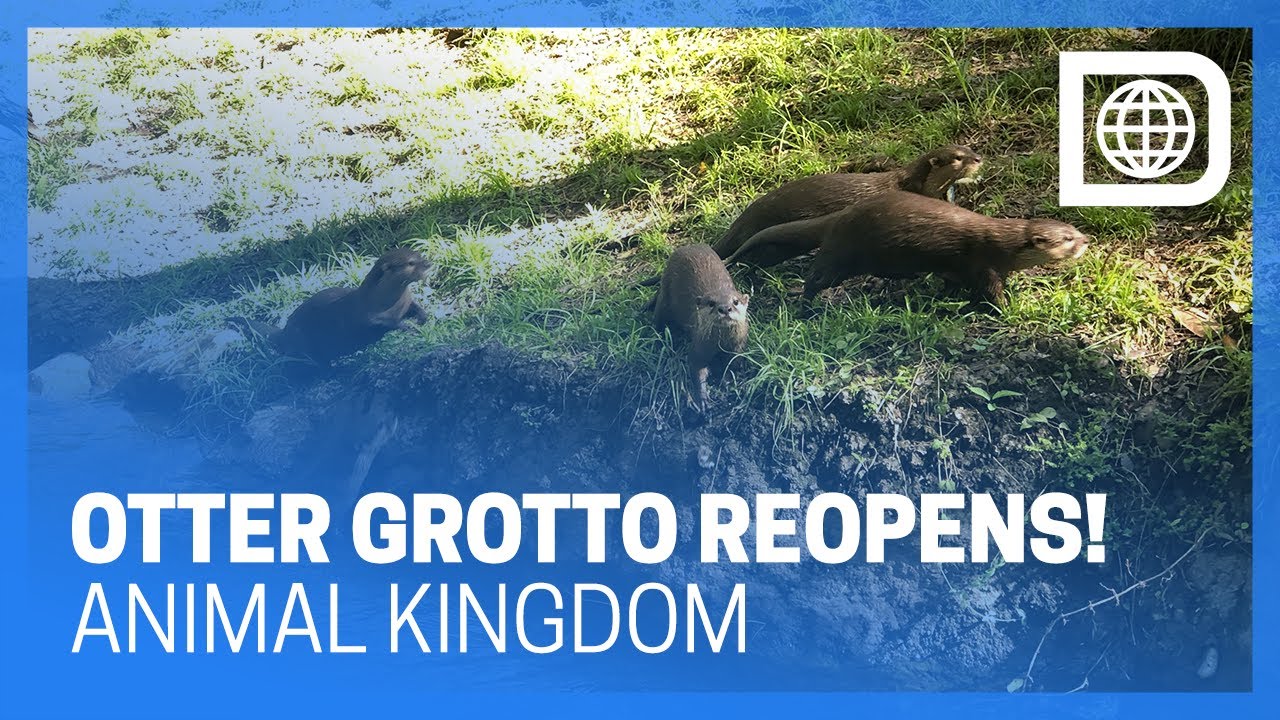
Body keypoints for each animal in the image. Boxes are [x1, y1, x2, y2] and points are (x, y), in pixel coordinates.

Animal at [229, 247, 431, 364]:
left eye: (420, 255)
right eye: (411, 263)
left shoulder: (406, 302)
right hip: (302, 342)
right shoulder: (367, 316)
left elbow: (416, 308)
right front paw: (408, 327)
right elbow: (385, 323)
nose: (428, 264)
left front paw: (422, 317)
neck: (388, 301)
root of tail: (284, 332)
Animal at [644, 244, 750, 410]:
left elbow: (731, 365)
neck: (720, 343)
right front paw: (702, 397)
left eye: (736, 301)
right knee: (659, 314)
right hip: (666, 294)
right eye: (711, 303)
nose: (725, 308)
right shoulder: (699, 345)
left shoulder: (737, 347)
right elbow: (696, 366)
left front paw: (726, 381)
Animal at [799, 191, 1088, 309]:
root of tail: (842, 214)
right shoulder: (984, 264)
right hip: (844, 250)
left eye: (1074, 229)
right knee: (815, 275)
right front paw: (1008, 308)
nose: (1085, 241)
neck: (1001, 242)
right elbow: (992, 293)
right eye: (1067, 238)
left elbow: (953, 282)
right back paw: (806, 307)